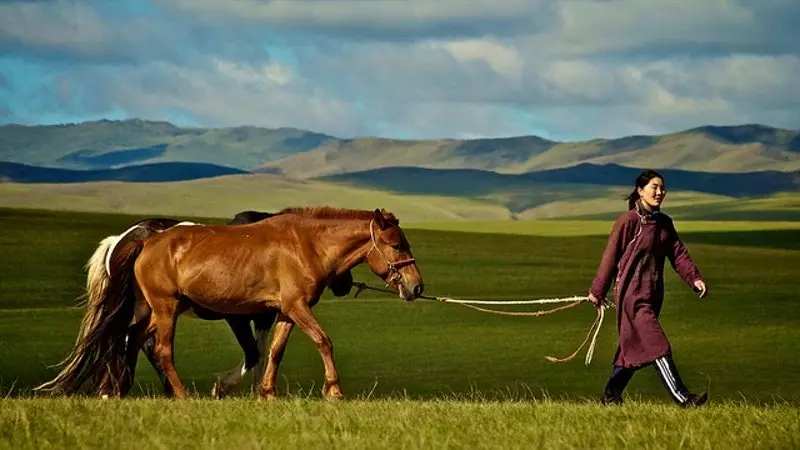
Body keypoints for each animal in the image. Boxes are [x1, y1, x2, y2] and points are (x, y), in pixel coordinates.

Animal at [37, 206, 424, 400]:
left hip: (153, 309)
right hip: (165, 308)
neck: (304, 244)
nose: (417, 287)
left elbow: (274, 352)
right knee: (159, 349)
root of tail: (144, 240)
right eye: (396, 245)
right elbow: (322, 341)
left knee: (130, 338)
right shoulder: (290, 308)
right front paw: (334, 391)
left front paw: (267, 394)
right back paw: (180, 396)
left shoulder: (285, 311)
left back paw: (118, 390)